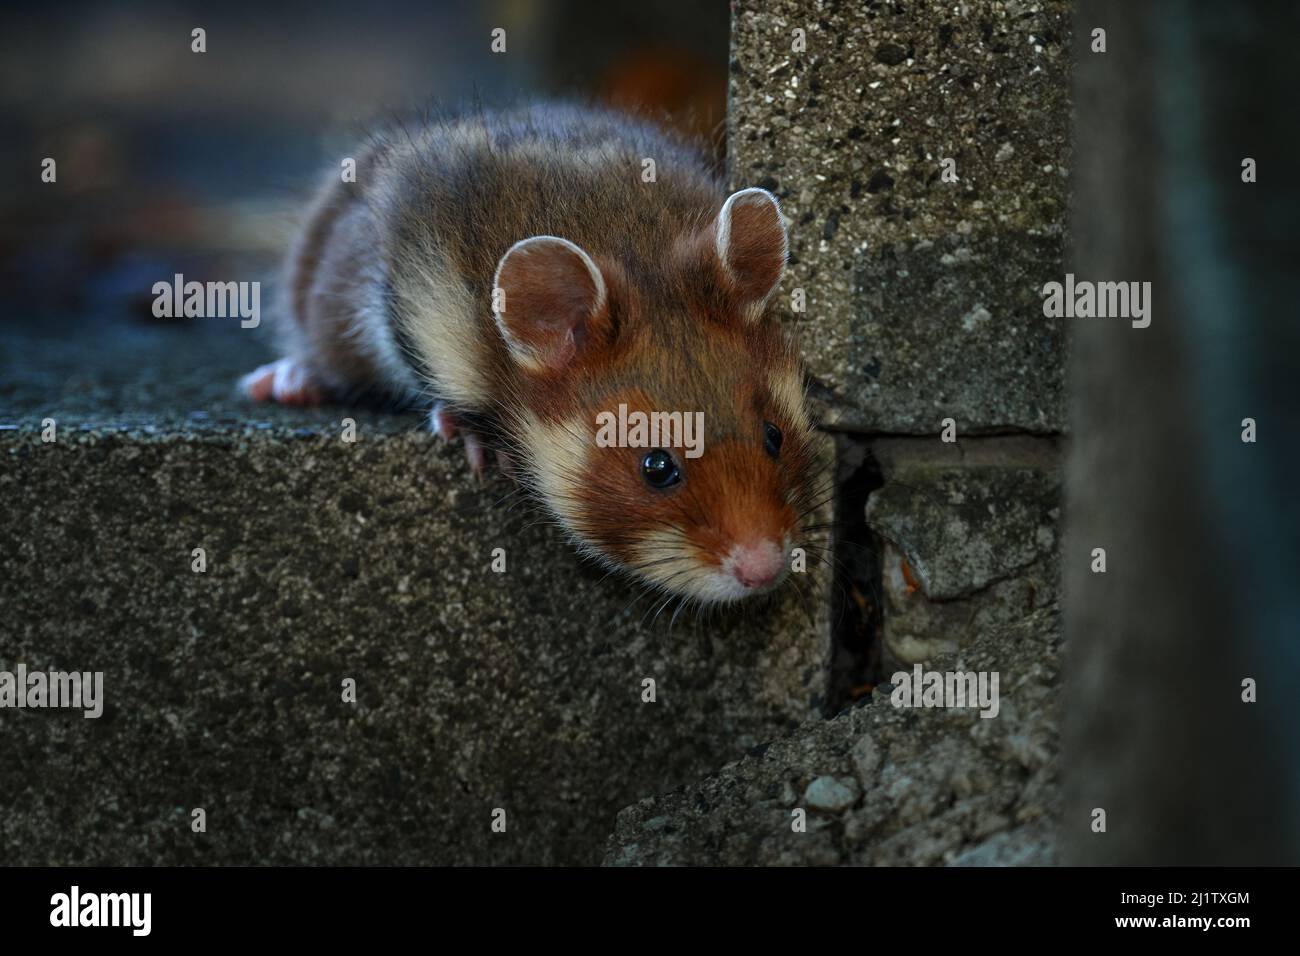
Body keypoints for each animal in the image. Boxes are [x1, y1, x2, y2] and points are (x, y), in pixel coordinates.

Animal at [242, 104, 823, 605]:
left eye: (774, 436)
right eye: (656, 467)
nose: (765, 570)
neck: (631, 244)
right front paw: (479, 446)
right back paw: (286, 383)